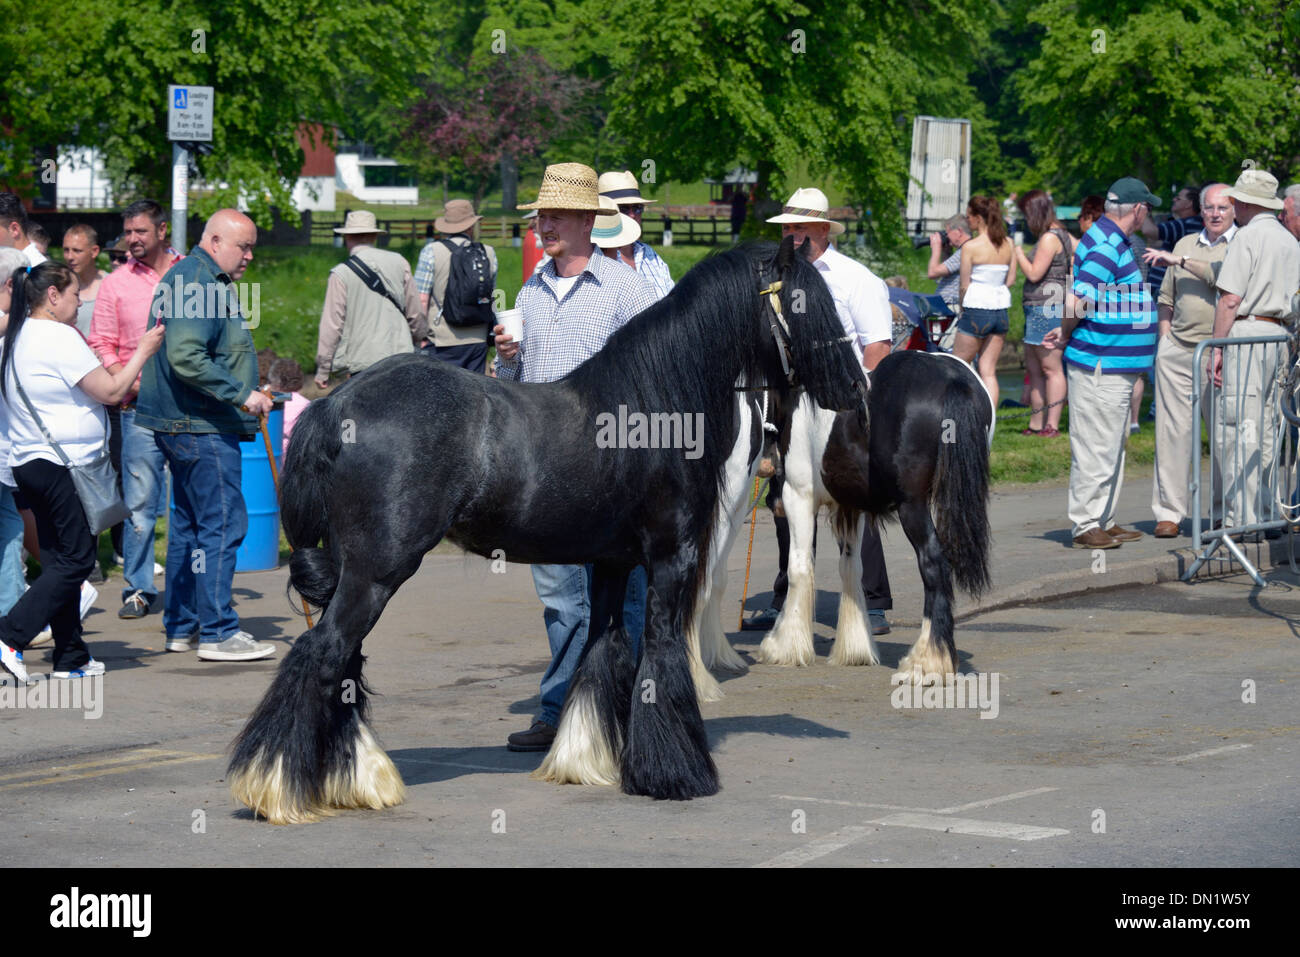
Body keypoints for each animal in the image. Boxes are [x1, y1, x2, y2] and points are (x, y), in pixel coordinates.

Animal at [227, 239, 868, 823]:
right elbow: (660, 658)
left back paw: (359, 781)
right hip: (377, 572)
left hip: (358, 573)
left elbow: (603, 654)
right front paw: (679, 774)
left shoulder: (612, 564)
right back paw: (277, 788)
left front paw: (584, 760)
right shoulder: (672, 559)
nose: (858, 390)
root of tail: (335, 407)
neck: (653, 409)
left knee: (345, 664)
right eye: (807, 301)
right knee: (323, 654)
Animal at [690, 350, 994, 700]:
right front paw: (855, 649)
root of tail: (955, 379)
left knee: (934, 566)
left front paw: (783, 646)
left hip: (913, 506)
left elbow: (799, 568)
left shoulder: (799, 496)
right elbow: (851, 570)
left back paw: (926, 663)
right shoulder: (850, 508)